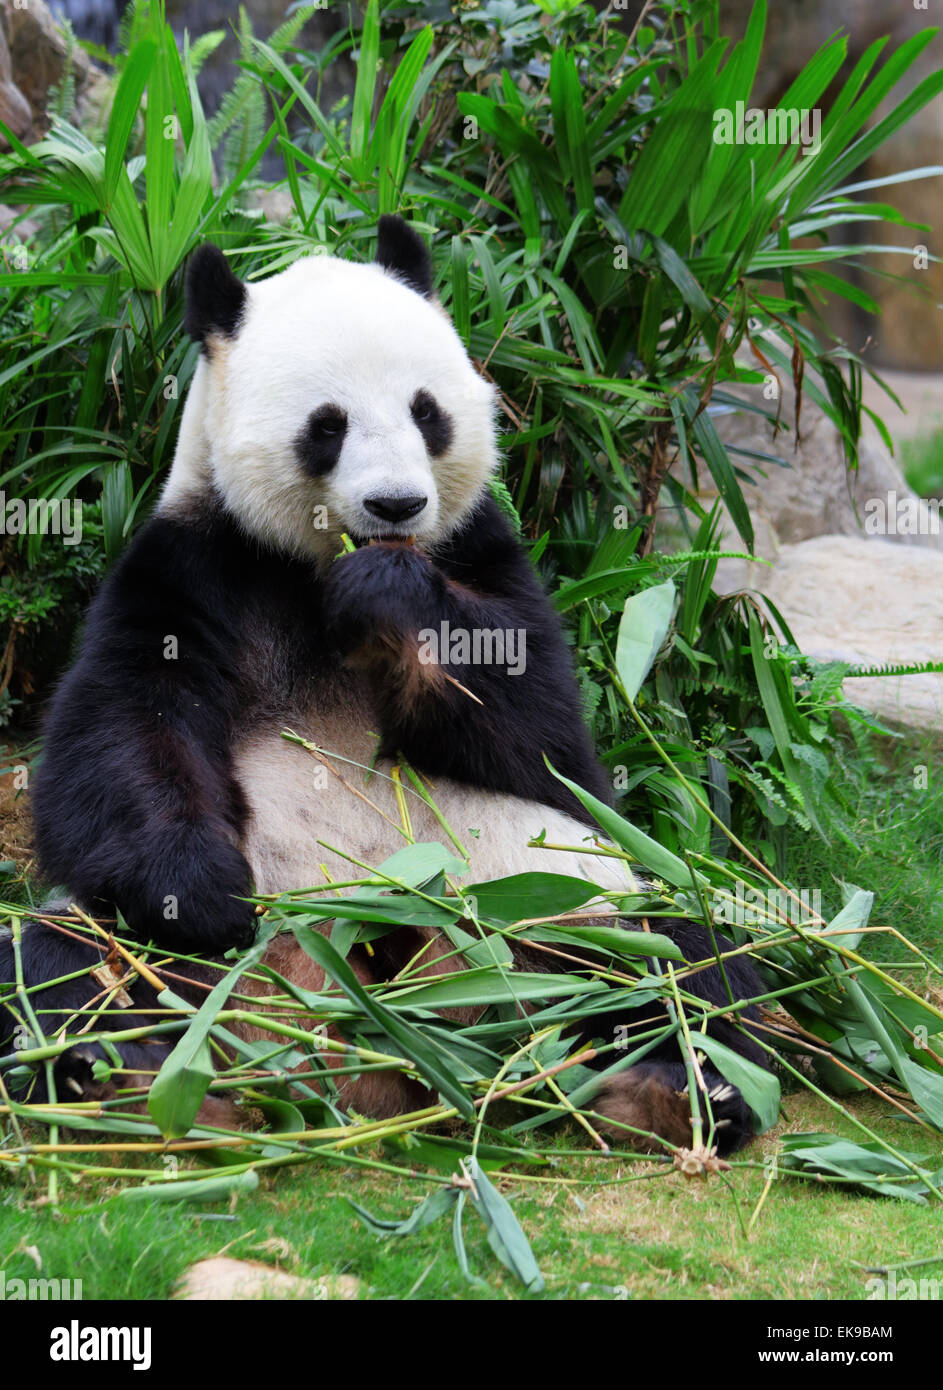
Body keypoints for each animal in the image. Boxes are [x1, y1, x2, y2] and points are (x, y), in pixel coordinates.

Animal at [0, 216, 768, 1153]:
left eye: (425, 411)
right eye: (326, 425)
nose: (397, 505)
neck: (312, 568)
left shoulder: (481, 551)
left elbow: (543, 738)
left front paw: (391, 596)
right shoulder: (192, 563)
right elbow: (125, 735)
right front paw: (206, 893)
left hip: (566, 902)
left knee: (688, 958)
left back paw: (671, 1091)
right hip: (182, 959)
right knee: (63, 964)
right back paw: (134, 1080)